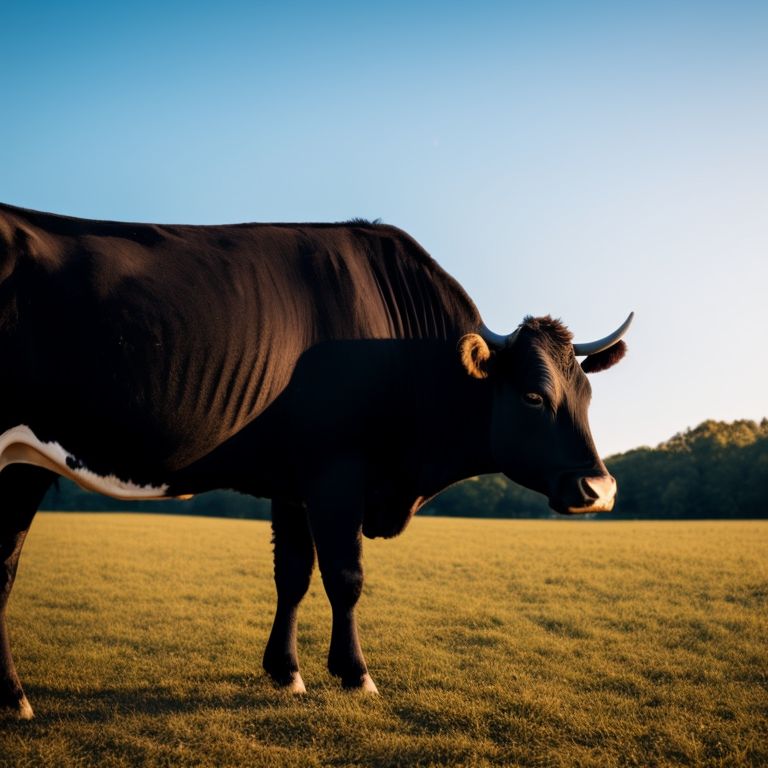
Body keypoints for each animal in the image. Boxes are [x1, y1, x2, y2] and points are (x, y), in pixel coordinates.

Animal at [0, 202, 632, 717]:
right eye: (532, 396)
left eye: (587, 394)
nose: (599, 490)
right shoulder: (336, 472)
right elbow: (344, 576)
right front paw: (356, 675)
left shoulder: (292, 481)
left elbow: (293, 576)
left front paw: (286, 673)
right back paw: (15, 699)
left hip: (20, 466)